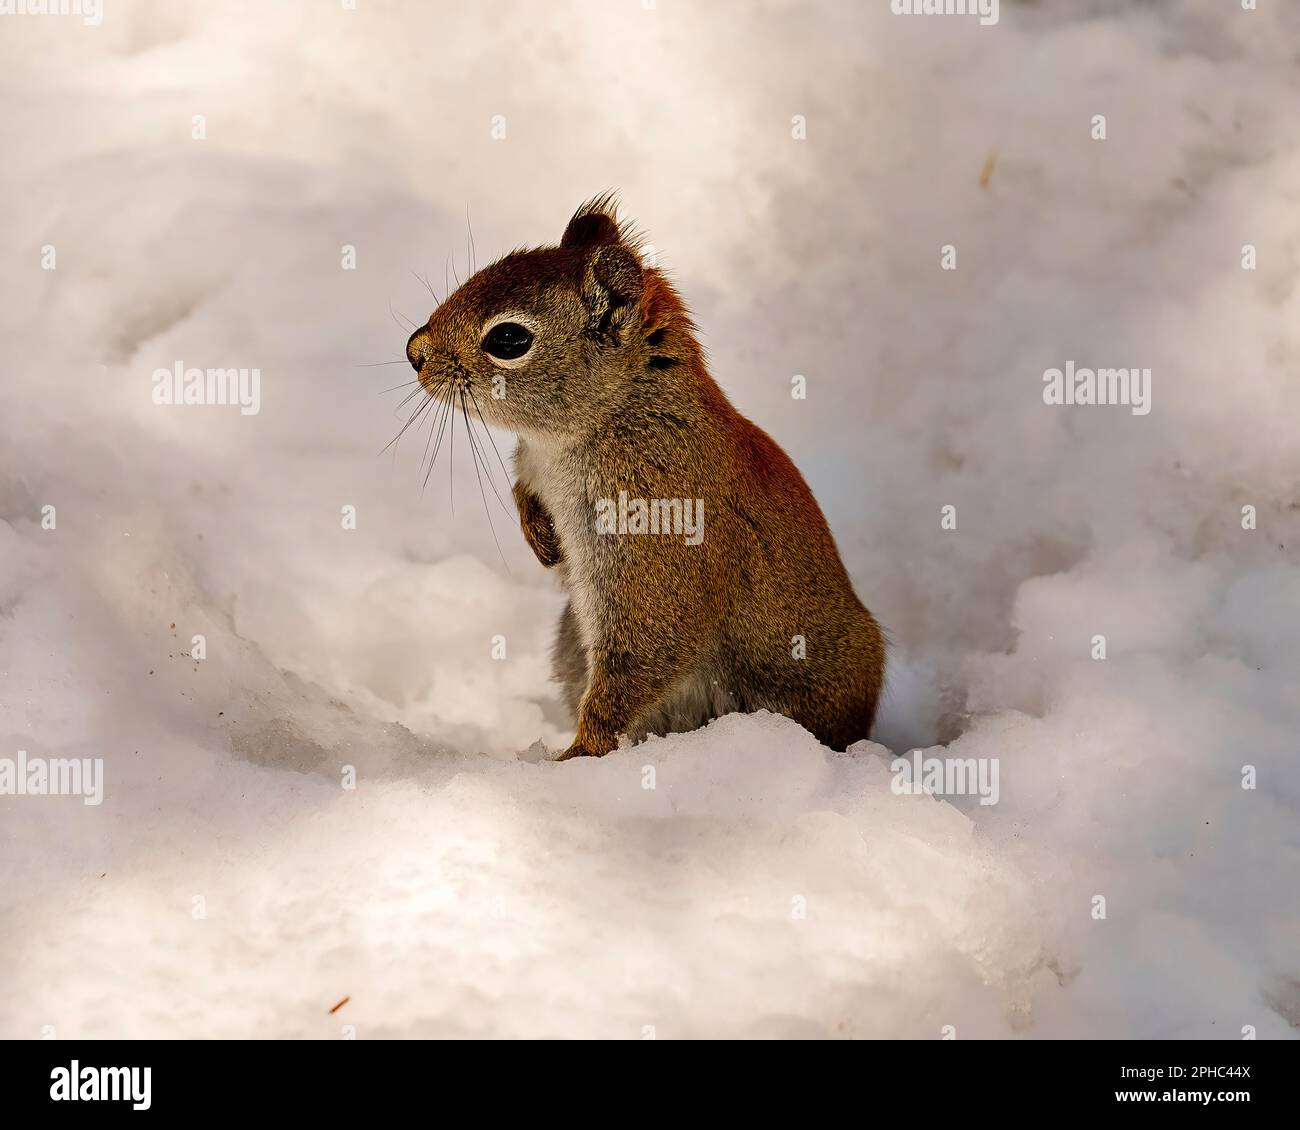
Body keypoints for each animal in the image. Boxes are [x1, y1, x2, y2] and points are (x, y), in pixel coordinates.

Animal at [405, 195, 885, 760]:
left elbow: (641, 657)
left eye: (508, 338)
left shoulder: (657, 543)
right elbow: (524, 493)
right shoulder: (533, 467)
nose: (414, 352)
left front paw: (579, 755)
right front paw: (541, 538)